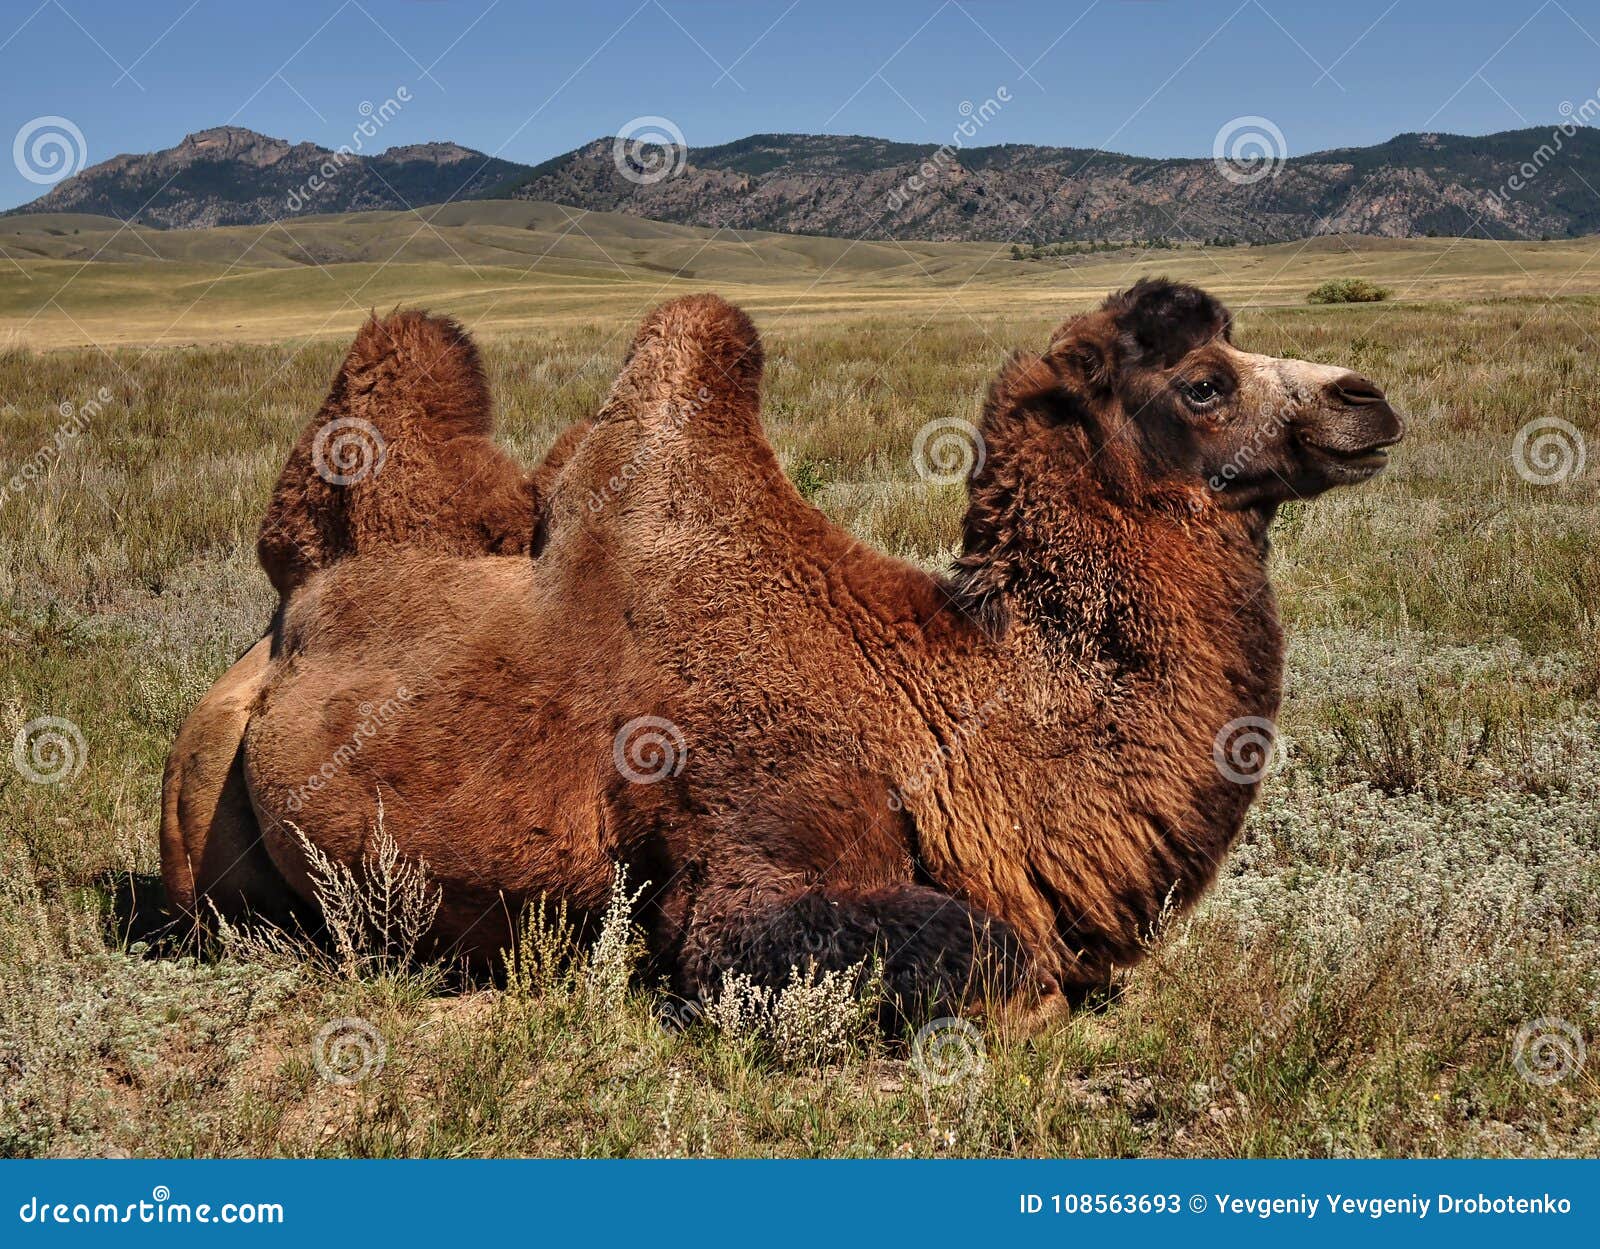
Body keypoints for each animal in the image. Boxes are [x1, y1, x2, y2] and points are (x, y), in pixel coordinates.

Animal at [162, 281, 1402, 1022]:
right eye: (1202, 382)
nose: (1365, 399)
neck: (950, 708)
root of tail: (283, 622)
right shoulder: (756, 851)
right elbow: (992, 957)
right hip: (203, 808)